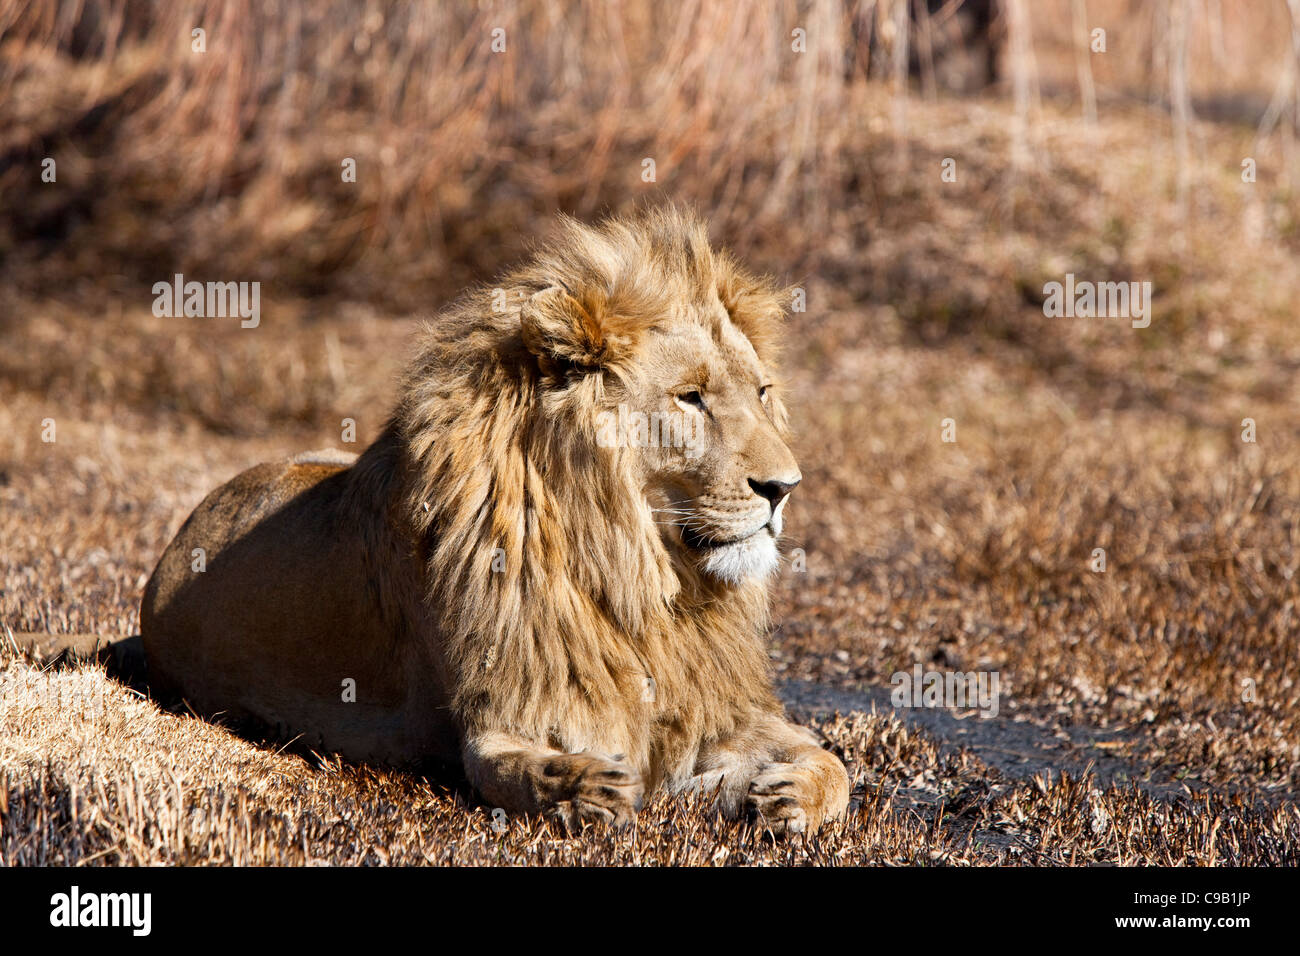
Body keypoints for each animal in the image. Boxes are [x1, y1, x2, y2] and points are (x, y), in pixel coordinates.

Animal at [140, 206, 850, 834]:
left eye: (761, 392)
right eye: (691, 397)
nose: (785, 488)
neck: (641, 582)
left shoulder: (712, 704)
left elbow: (829, 760)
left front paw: (786, 795)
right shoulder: (503, 713)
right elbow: (512, 769)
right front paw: (591, 788)